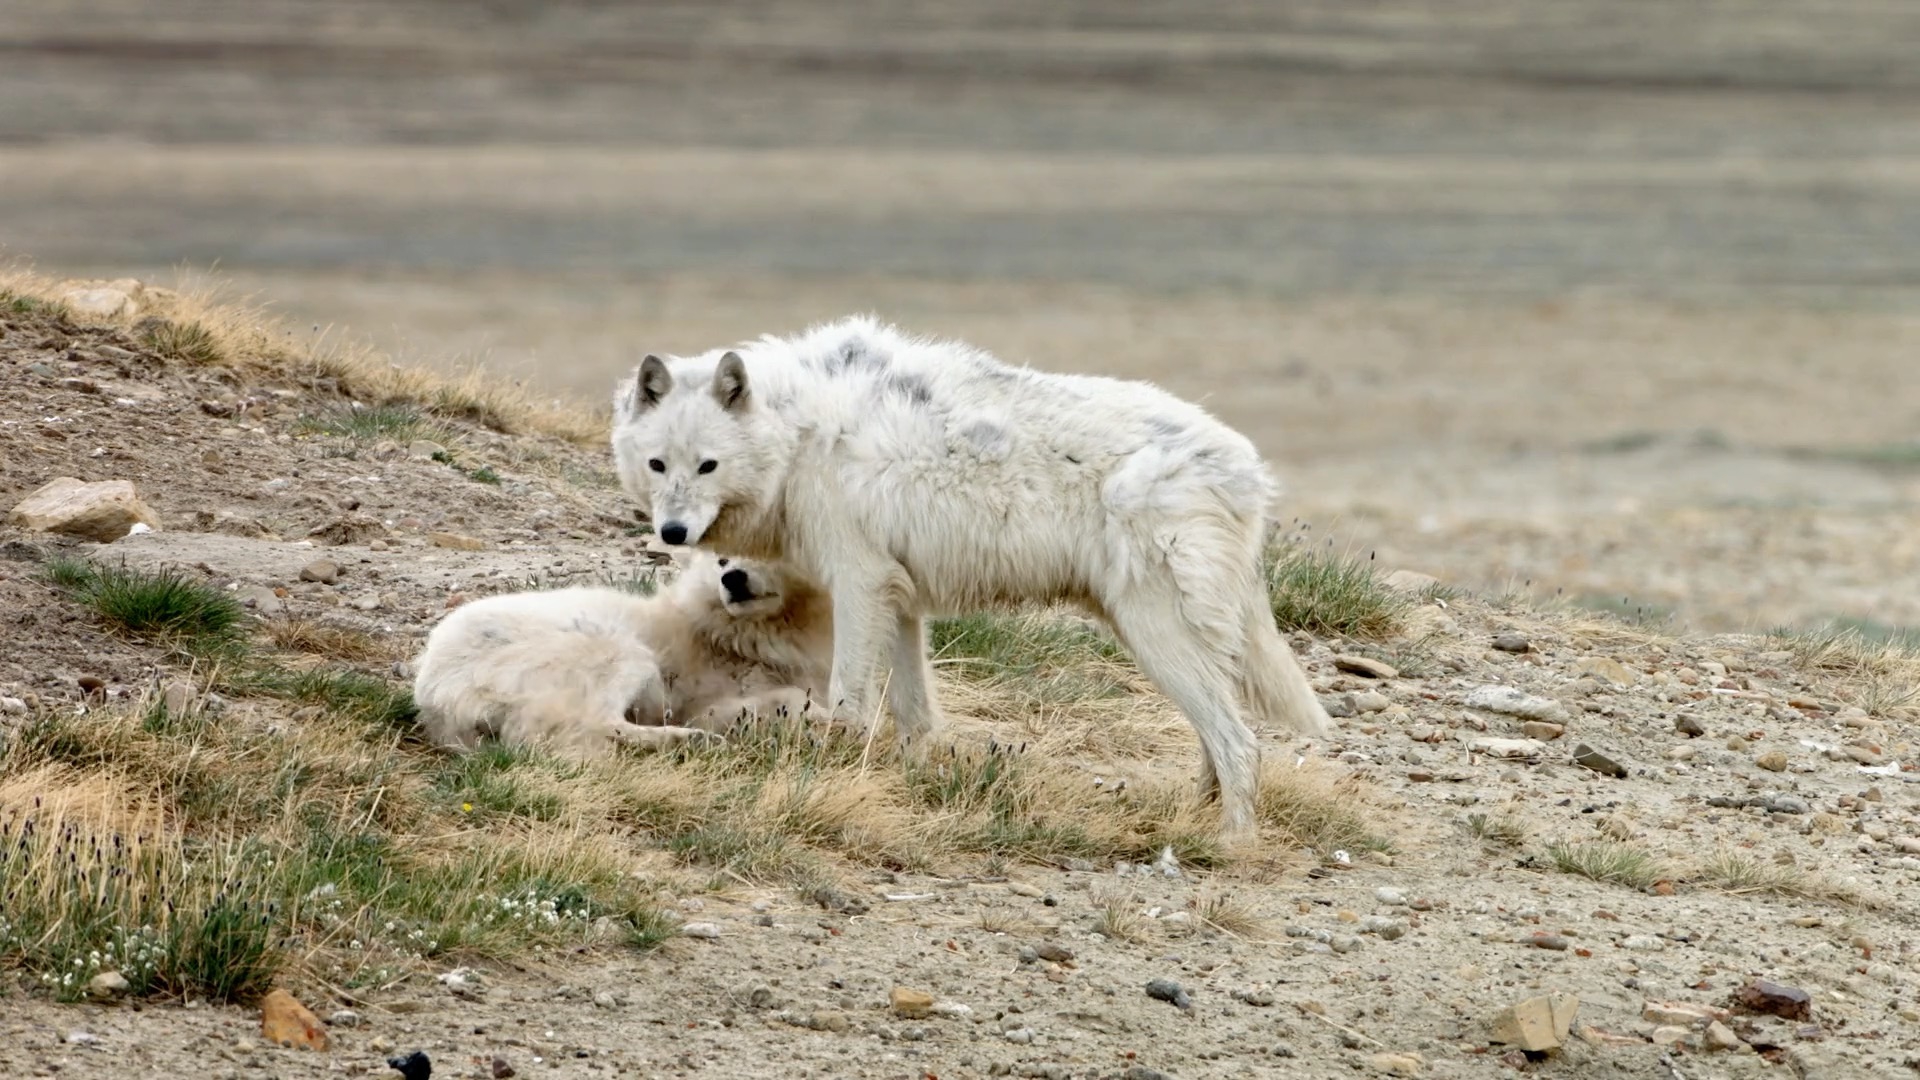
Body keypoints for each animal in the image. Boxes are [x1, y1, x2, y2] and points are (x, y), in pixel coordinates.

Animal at [411, 553, 833, 760]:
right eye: (722, 561)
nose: (731, 579)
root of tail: (434, 690)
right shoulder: (710, 704)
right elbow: (795, 699)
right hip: (624, 652)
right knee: (589, 724)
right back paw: (690, 741)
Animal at [609, 315, 1331, 841]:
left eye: (708, 465)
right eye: (657, 464)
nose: (673, 533)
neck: (798, 437)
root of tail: (1247, 469)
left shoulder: (860, 585)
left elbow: (848, 706)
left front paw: (826, 774)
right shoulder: (899, 601)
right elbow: (914, 715)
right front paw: (910, 782)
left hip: (1158, 639)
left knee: (1240, 743)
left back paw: (1230, 844)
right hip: (1158, 642)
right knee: (1217, 738)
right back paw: (1193, 816)